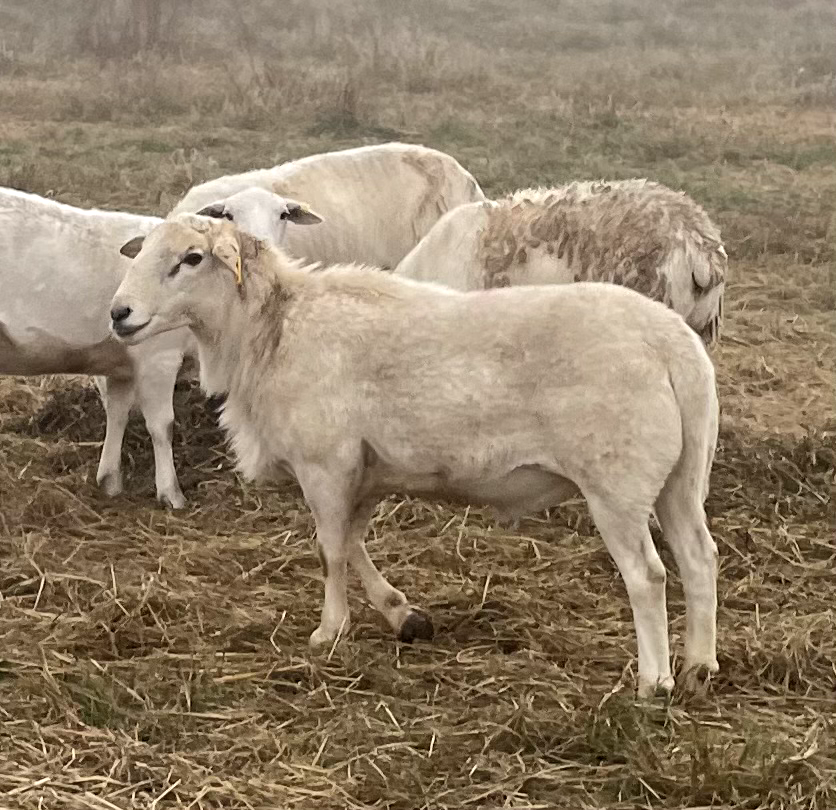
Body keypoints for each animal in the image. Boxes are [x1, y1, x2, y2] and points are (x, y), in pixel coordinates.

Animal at [0, 186, 320, 508]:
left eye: (283, 215)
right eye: (227, 215)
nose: (257, 246)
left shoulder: (121, 366)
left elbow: (117, 414)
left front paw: (110, 482)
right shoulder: (158, 356)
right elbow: (162, 426)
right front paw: (171, 494)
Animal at [109, 215, 721, 698]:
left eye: (191, 258)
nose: (119, 314)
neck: (272, 330)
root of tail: (673, 346)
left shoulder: (325, 462)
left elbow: (330, 551)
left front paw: (329, 631)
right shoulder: (365, 470)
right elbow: (352, 544)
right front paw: (404, 615)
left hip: (616, 481)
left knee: (648, 576)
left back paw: (654, 683)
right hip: (681, 477)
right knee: (699, 558)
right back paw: (699, 667)